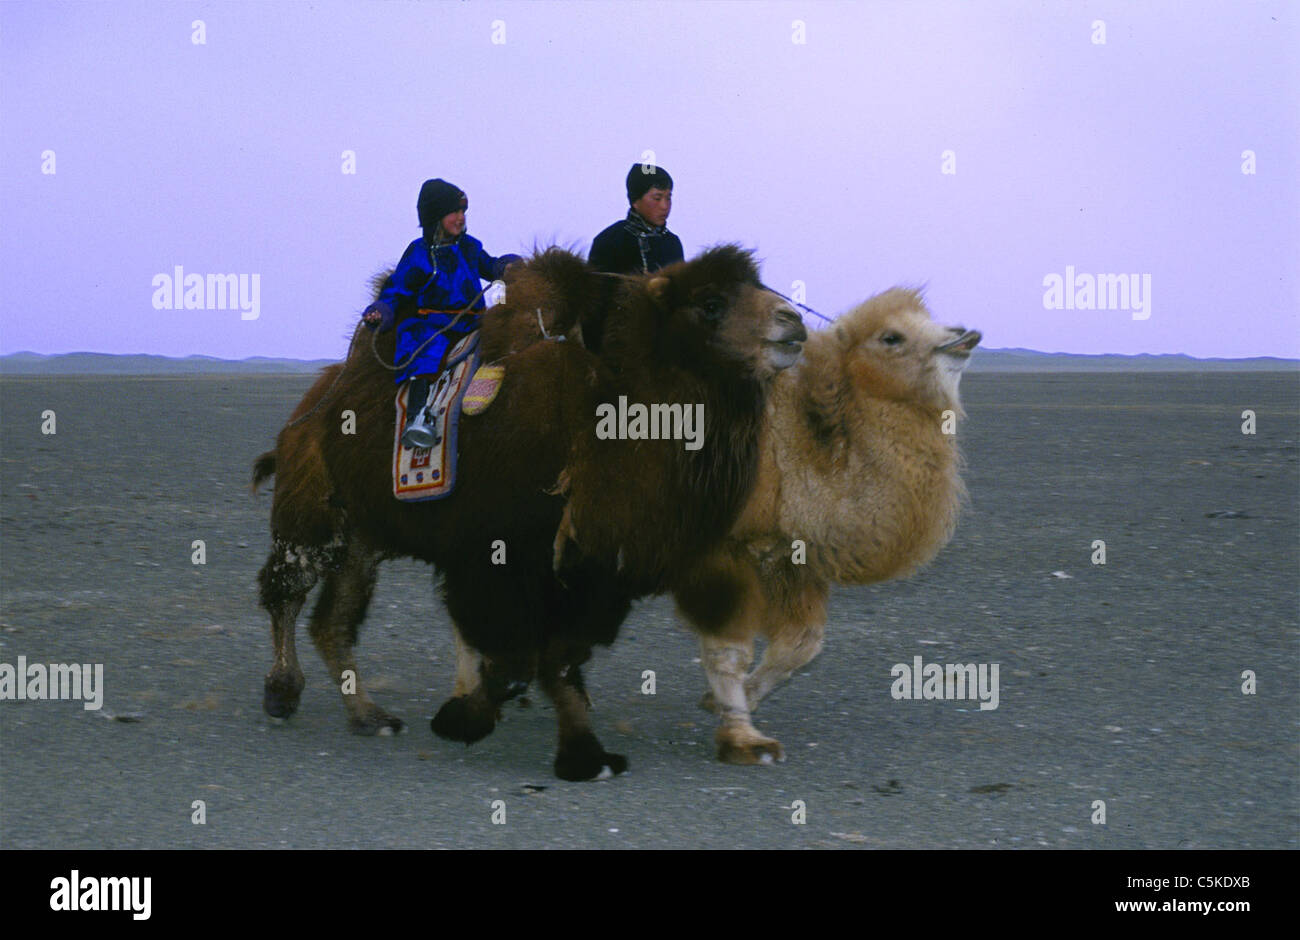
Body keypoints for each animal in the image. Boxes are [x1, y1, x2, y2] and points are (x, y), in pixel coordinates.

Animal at [250, 246, 806, 780]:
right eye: (710, 303)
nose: (792, 321)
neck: (601, 426)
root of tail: (310, 408)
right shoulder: (498, 558)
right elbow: (520, 659)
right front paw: (466, 718)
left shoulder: (587, 573)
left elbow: (559, 657)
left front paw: (585, 756)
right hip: (313, 516)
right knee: (286, 592)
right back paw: (282, 694)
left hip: (363, 537)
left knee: (333, 621)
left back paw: (371, 717)